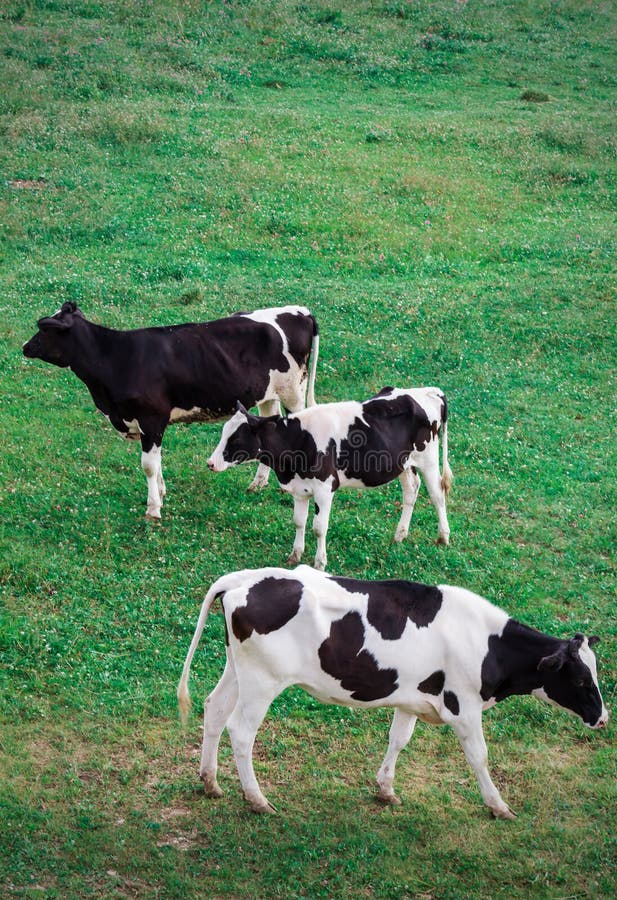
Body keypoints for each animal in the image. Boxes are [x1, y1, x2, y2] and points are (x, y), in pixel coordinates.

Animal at [22, 302, 319, 519]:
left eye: (45, 330)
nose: (25, 346)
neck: (117, 358)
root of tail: (300, 311)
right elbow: (158, 462)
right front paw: (162, 493)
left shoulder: (151, 419)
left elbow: (149, 465)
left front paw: (153, 509)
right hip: (268, 395)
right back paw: (258, 484)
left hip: (294, 393)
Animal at [177, 565, 608, 819]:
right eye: (582, 681)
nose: (602, 718)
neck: (486, 642)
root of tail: (242, 579)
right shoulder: (463, 706)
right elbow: (480, 757)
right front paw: (499, 806)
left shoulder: (412, 697)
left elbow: (399, 739)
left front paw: (385, 789)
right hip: (263, 680)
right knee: (241, 731)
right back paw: (257, 799)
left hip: (239, 670)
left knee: (214, 710)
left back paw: (210, 782)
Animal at [207, 387, 452, 570]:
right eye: (223, 432)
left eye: (236, 438)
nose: (210, 463)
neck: (299, 440)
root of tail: (429, 391)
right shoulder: (299, 489)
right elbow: (298, 521)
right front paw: (295, 555)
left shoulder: (325, 489)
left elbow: (319, 527)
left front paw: (319, 563)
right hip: (403, 464)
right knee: (411, 490)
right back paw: (400, 535)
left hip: (429, 460)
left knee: (437, 495)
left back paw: (443, 537)